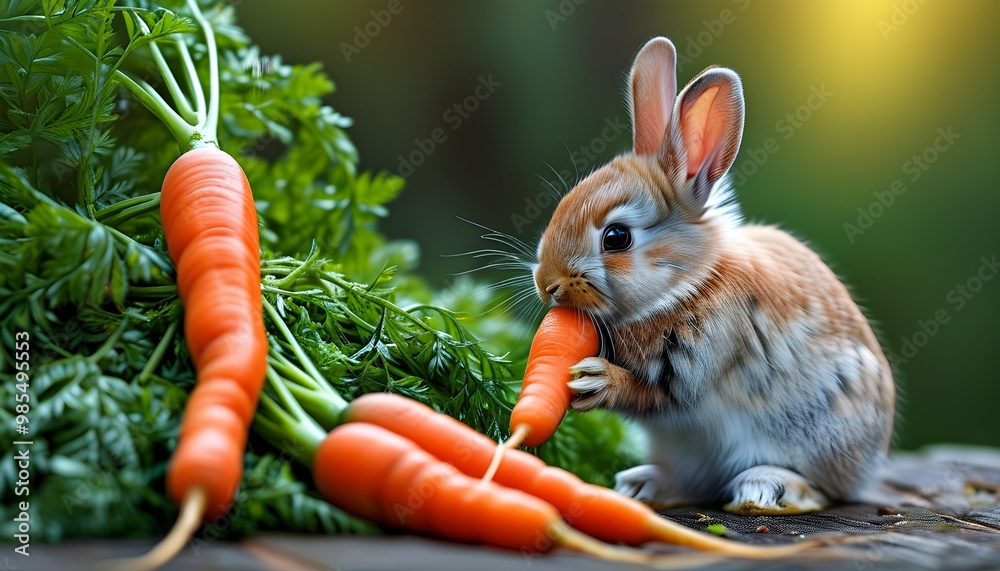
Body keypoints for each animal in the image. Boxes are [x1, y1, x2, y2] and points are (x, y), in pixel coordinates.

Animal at [531, 36, 896, 515]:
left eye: (616, 237)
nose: (546, 284)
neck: (689, 283)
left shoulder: (696, 367)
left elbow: (654, 395)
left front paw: (594, 380)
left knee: (827, 490)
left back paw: (766, 489)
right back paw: (641, 485)